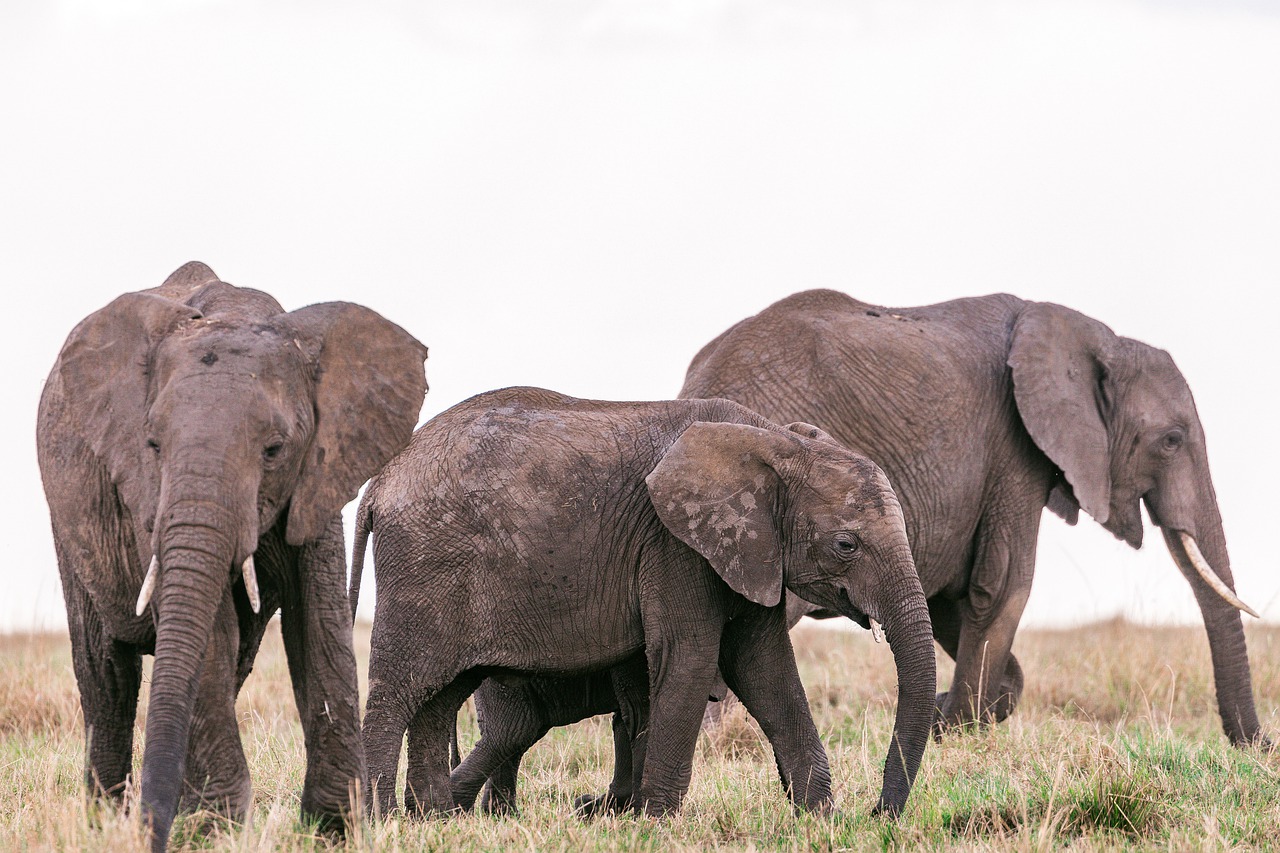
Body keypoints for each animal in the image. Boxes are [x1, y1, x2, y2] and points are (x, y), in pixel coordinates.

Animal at [36, 262, 429, 852]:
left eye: (274, 450)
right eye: (152, 445)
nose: (152, 830)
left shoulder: (320, 474)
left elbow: (321, 622)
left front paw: (333, 830)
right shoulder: (145, 497)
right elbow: (208, 635)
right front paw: (217, 831)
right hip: (69, 522)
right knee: (107, 674)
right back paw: (104, 822)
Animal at [352, 386, 935, 820]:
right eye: (846, 544)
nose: (877, 813)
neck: (773, 441)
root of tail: (379, 483)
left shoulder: (748, 548)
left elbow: (764, 666)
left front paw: (819, 820)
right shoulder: (674, 544)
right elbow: (691, 657)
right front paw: (656, 822)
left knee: (441, 697)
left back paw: (435, 819)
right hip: (423, 565)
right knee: (401, 690)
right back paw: (380, 821)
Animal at [675, 289, 1265, 745]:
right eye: (1171, 440)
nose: (1255, 746)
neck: (1092, 338)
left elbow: (950, 602)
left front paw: (946, 713)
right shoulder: (1014, 448)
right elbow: (1002, 586)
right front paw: (955, 723)